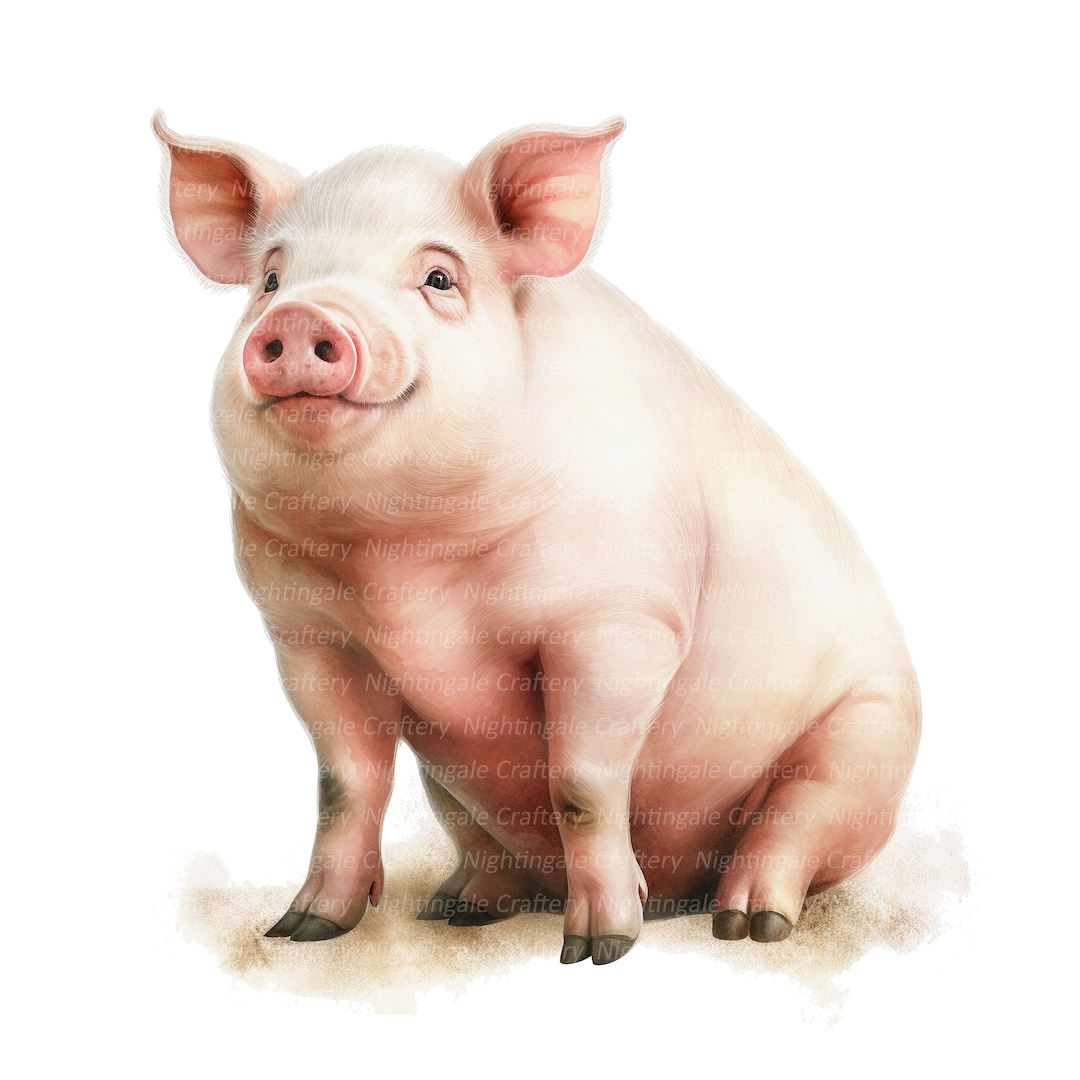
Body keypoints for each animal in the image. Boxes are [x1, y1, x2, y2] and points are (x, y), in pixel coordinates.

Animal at [154, 111, 920, 965]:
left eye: (439, 279)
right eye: (270, 281)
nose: (300, 318)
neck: (400, 564)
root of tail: (687, 886)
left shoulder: (620, 618)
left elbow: (581, 785)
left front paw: (598, 949)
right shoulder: (306, 633)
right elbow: (344, 787)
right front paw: (301, 931)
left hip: (864, 742)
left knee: (790, 828)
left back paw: (748, 925)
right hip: (451, 789)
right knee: (476, 839)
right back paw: (457, 909)